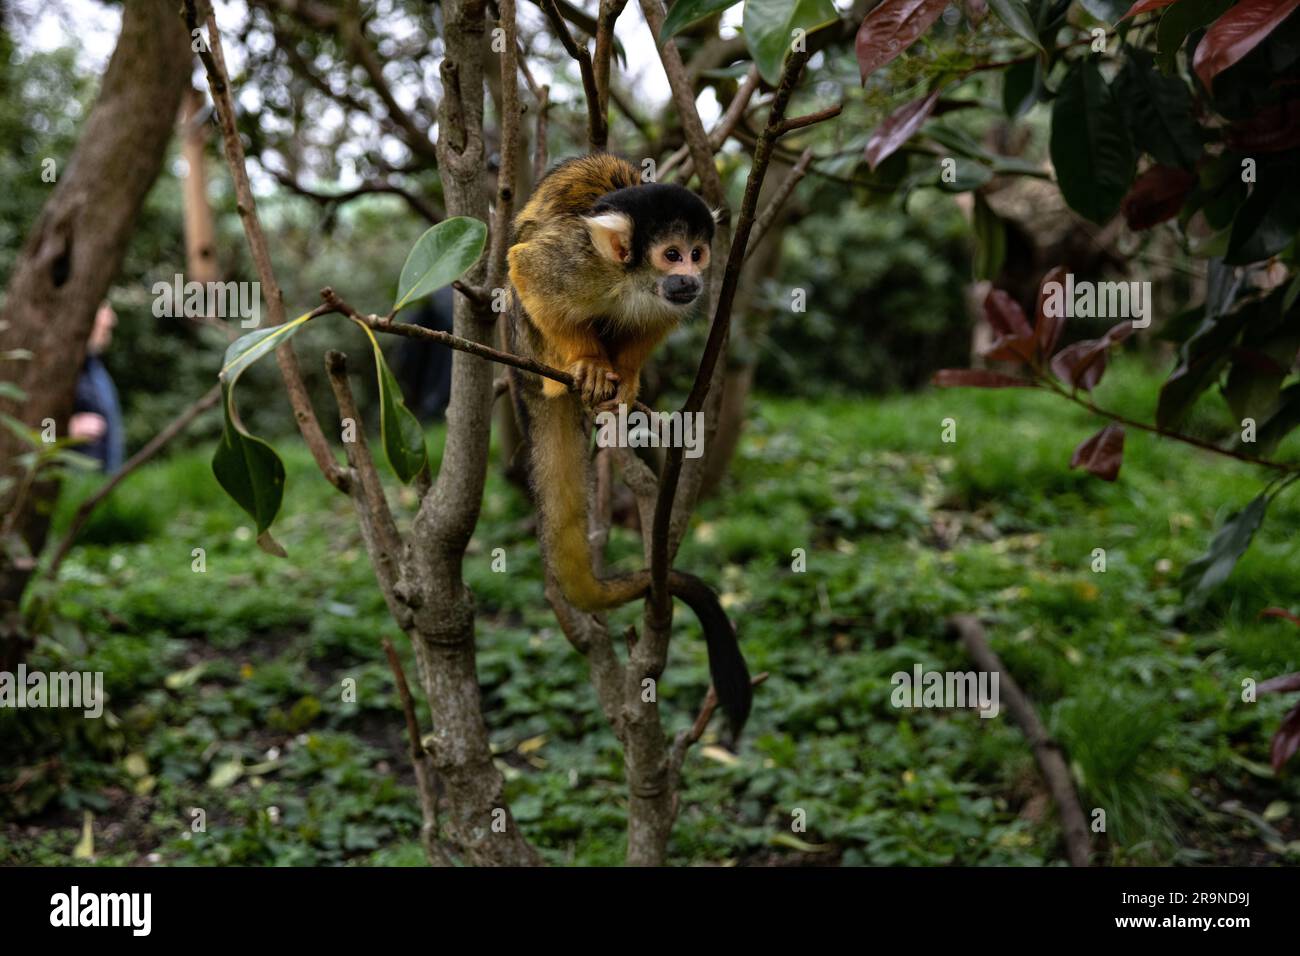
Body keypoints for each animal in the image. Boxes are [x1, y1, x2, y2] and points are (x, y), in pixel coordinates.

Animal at [506, 154, 752, 739]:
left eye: (698, 253)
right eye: (671, 254)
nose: (691, 276)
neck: (631, 279)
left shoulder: (668, 299)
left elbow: (656, 321)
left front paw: (628, 375)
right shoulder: (576, 262)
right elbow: (526, 265)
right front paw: (588, 361)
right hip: (523, 341)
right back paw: (570, 376)